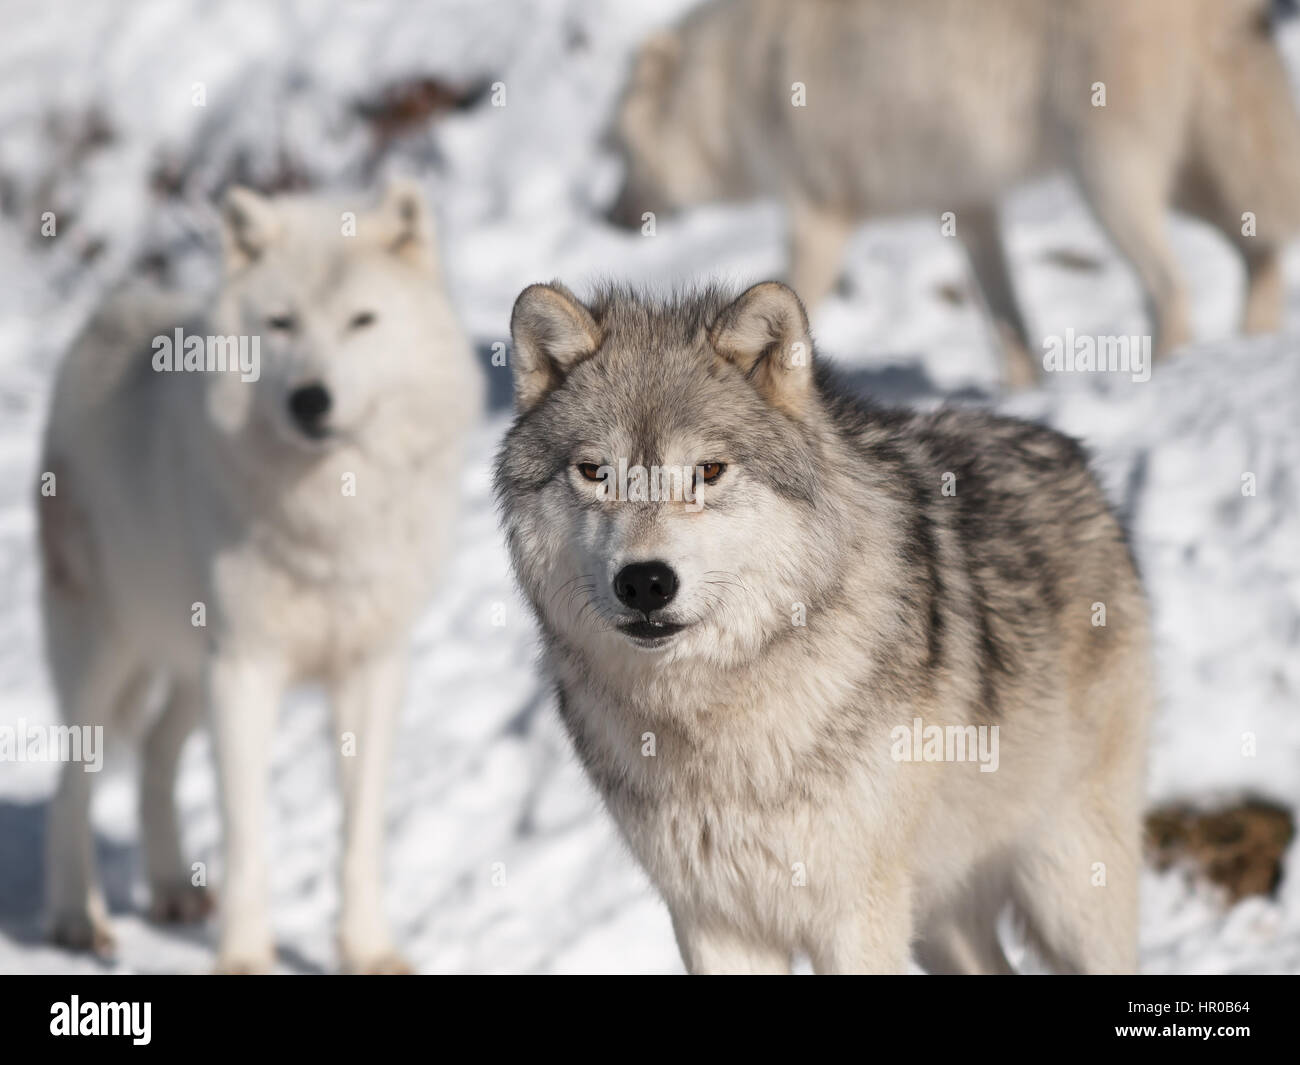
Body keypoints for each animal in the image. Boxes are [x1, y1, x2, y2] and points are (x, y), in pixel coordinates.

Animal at [39, 181, 482, 972]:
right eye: (280, 323)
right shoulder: (244, 669)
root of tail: (109, 313)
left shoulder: (372, 669)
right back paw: (76, 921)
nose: (311, 398)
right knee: (71, 788)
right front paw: (245, 956)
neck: (328, 519)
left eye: (362, 321)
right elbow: (246, 836)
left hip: (187, 667)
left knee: (154, 753)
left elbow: (359, 835)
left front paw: (366, 949)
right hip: (106, 657)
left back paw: (171, 892)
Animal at [495, 279, 1153, 973]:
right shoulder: (712, 920)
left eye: (708, 471)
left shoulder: (854, 913)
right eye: (595, 472)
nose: (645, 582)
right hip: (943, 918)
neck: (715, 723)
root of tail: (1069, 452)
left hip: (1068, 888)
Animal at [606, 0, 1300, 385]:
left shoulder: (820, 217)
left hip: (1109, 182)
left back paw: (1170, 371)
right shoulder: (971, 208)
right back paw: (1252, 344)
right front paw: (1026, 392)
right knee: (1258, 248)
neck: (734, 80)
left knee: (1170, 286)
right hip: (1189, 182)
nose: (610, 215)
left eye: (620, 149)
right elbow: (1006, 318)